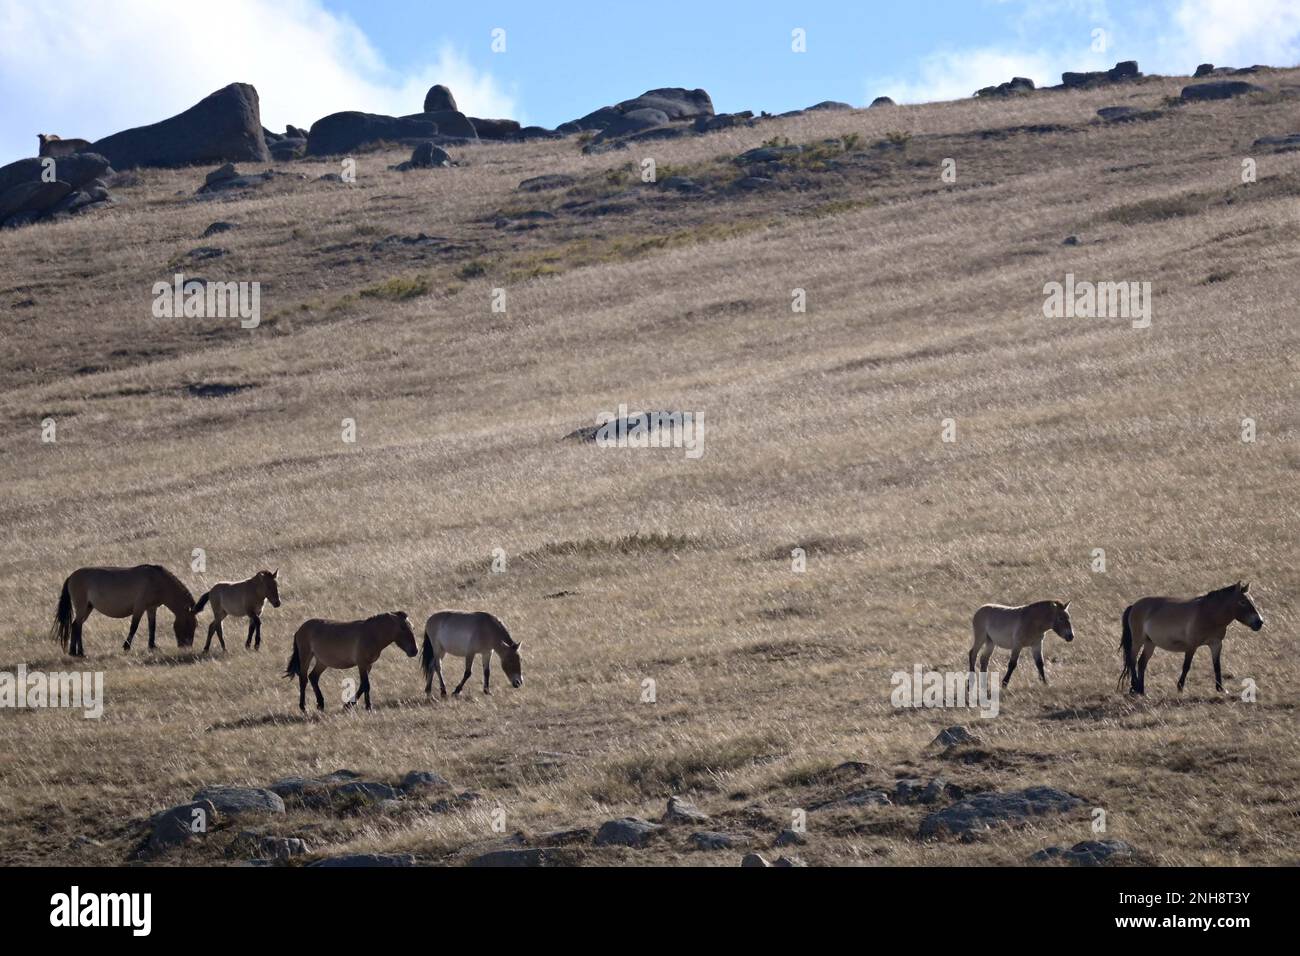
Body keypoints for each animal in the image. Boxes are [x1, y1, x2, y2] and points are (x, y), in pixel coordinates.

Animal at [50, 565, 197, 656]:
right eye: (190, 624)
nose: (186, 646)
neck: (157, 580)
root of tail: (71, 577)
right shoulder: (139, 607)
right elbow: (134, 627)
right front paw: (126, 646)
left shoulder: (151, 608)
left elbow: (152, 627)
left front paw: (152, 646)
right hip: (82, 607)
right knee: (77, 625)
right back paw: (78, 652)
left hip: (88, 607)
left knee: (76, 625)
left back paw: (75, 652)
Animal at [284, 612, 418, 711]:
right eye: (402, 628)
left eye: (412, 627)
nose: (414, 651)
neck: (371, 634)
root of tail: (299, 630)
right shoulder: (362, 664)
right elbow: (366, 685)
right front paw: (368, 707)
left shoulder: (368, 665)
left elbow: (363, 685)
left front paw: (348, 705)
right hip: (305, 656)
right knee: (303, 679)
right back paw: (303, 707)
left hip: (322, 662)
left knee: (313, 677)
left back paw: (320, 704)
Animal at [1118, 581, 1263, 695]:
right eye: (1242, 602)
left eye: (1252, 600)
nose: (1259, 622)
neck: (1209, 614)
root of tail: (1133, 606)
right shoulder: (1191, 646)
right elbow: (1186, 666)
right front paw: (1180, 688)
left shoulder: (1216, 644)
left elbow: (1217, 665)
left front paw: (1221, 689)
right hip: (1138, 641)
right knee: (1132, 660)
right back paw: (1135, 687)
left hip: (1150, 643)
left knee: (1142, 663)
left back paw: (1141, 690)